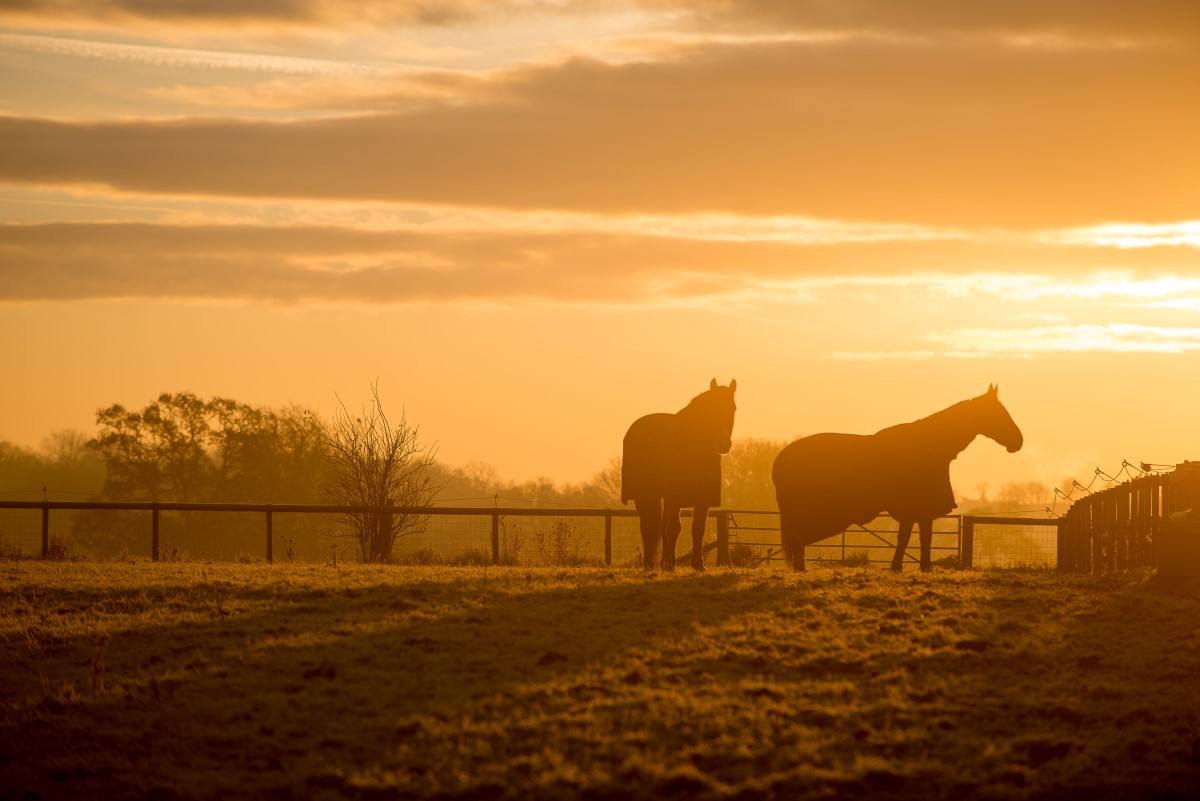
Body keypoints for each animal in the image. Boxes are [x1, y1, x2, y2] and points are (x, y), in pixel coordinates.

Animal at [622, 379, 738, 571]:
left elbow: (697, 529)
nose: (723, 443)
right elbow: (674, 528)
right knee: (647, 526)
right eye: (711, 408)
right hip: (645, 496)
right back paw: (650, 563)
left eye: (733, 408)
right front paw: (670, 563)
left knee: (660, 527)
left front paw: (697, 564)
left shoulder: (703, 499)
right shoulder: (674, 497)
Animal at [771, 385, 1023, 572]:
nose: (1018, 441)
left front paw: (913, 567)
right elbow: (912, 537)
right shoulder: (917, 507)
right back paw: (801, 568)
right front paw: (907, 567)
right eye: (998, 413)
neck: (933, 447)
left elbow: (916, 537)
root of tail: (780, 459)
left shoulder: (919, 510)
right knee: (797, 539)